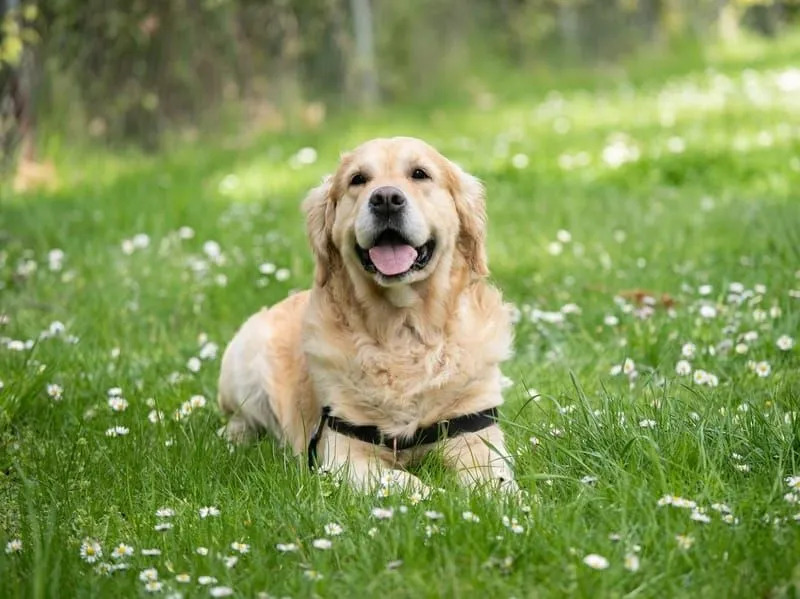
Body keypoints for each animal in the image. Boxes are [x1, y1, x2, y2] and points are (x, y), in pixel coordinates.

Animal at [219, 138, 516, 494]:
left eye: (420, 174)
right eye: (358, 179)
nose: (386, 199)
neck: (403, 330)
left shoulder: (475, 434)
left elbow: (495, 481)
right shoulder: (344, 453)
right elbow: (405, 482)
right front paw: (435, 496)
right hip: (244, 357)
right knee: (240, 417)